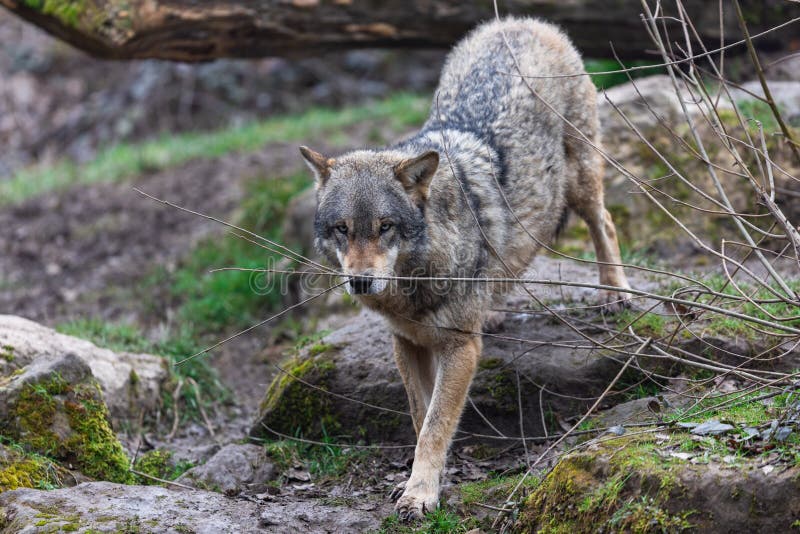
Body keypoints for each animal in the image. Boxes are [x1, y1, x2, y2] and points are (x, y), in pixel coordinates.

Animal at [299, 17, 631, 521]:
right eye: (342, 229)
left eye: (385, 226)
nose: (360, 280)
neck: (414, 284)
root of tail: (520, 22)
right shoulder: (406, 344)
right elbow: (421, 419)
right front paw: (422, 483)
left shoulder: (460, 350)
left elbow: (436, 425)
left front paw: (420, 494)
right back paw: (494, 311)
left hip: (580, 181)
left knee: (605, 221)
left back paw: (615, 292)